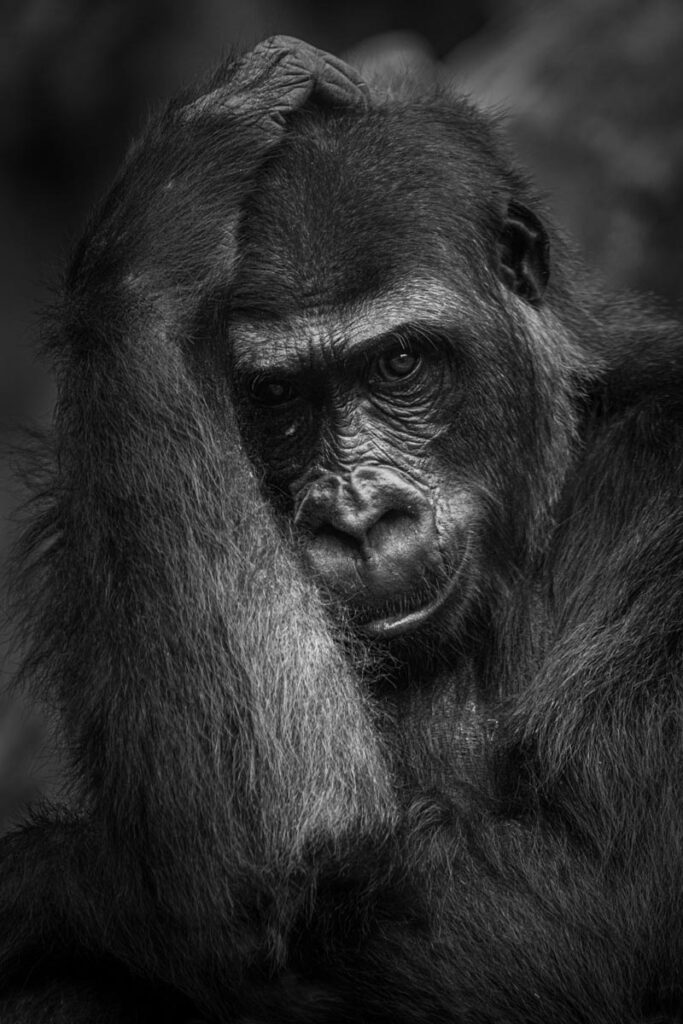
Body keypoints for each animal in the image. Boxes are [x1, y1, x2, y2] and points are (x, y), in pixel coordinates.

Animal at [0, 35, 681, 1024]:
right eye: (276, 394)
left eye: (398, 362)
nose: (357, 516)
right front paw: (164, 220)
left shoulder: (667, 490)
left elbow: (568, 897)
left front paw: (42, 879)